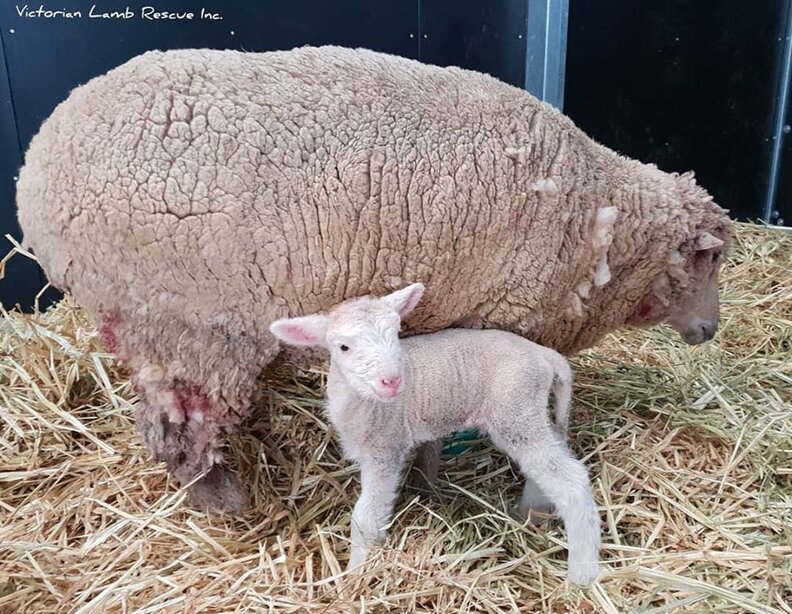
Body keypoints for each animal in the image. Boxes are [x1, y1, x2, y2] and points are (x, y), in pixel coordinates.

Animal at [16, 45, 731, 511]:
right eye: (712, 258)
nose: (710, 330)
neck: (600, 219)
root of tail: (39, 165)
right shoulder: (490, 314)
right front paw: (439, 481)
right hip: (183, 325)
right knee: (180, 429)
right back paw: (221, 500)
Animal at [269, 283, 601, 585]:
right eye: (344, 347)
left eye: (396, 334)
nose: (392, 380)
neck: (362, 405)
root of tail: (546, 356)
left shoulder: (385, 450)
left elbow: (366, 516)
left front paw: (354, 573)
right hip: (529, 414)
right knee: (545, 468)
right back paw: (528, 514)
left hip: (515, 411)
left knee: (571, 482)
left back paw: (582, 574)